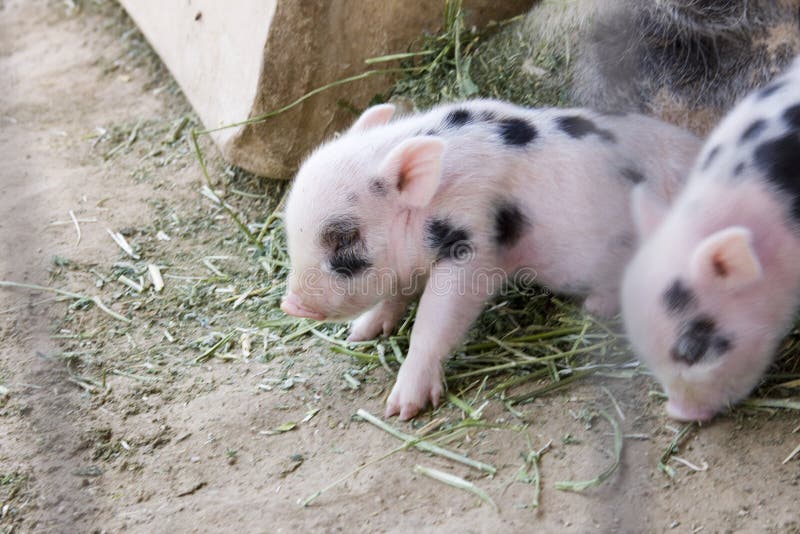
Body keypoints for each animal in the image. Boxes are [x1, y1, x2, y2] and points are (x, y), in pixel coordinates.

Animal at [281, 99, 701, 420]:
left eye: (344, 239)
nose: (290, 304)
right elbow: (397, 294)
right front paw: (359, 334)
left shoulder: (472, 245)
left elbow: (435, 319)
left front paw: (400, 410)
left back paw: (594, 308)